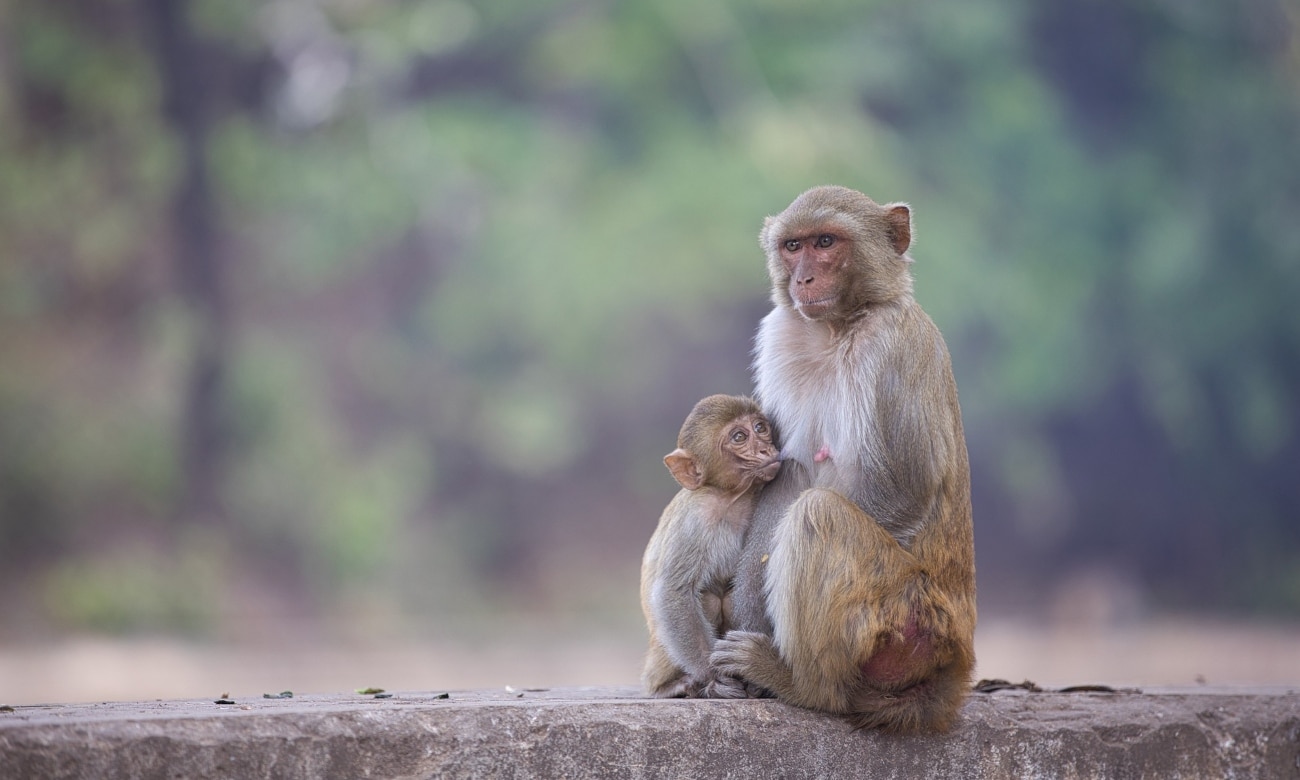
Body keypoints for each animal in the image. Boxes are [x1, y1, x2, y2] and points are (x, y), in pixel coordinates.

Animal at [640, 394, 782, 699]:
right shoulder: (696, 518)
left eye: (760, 427)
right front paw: (714, 677)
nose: (766, 448)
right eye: (739, 437)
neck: (732, 499)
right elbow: (674, 591)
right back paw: (670, 686)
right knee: (707, 598)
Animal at [709, 185, 977, 733]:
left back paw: (804, 685)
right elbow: (788, 476)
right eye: (793, 246)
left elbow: (903, 489)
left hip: (906, 621)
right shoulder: (782, 335)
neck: (840, 328)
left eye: (826, 242)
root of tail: (954, 662)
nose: (803, 279)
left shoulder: (895, 347)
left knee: (819, 516)